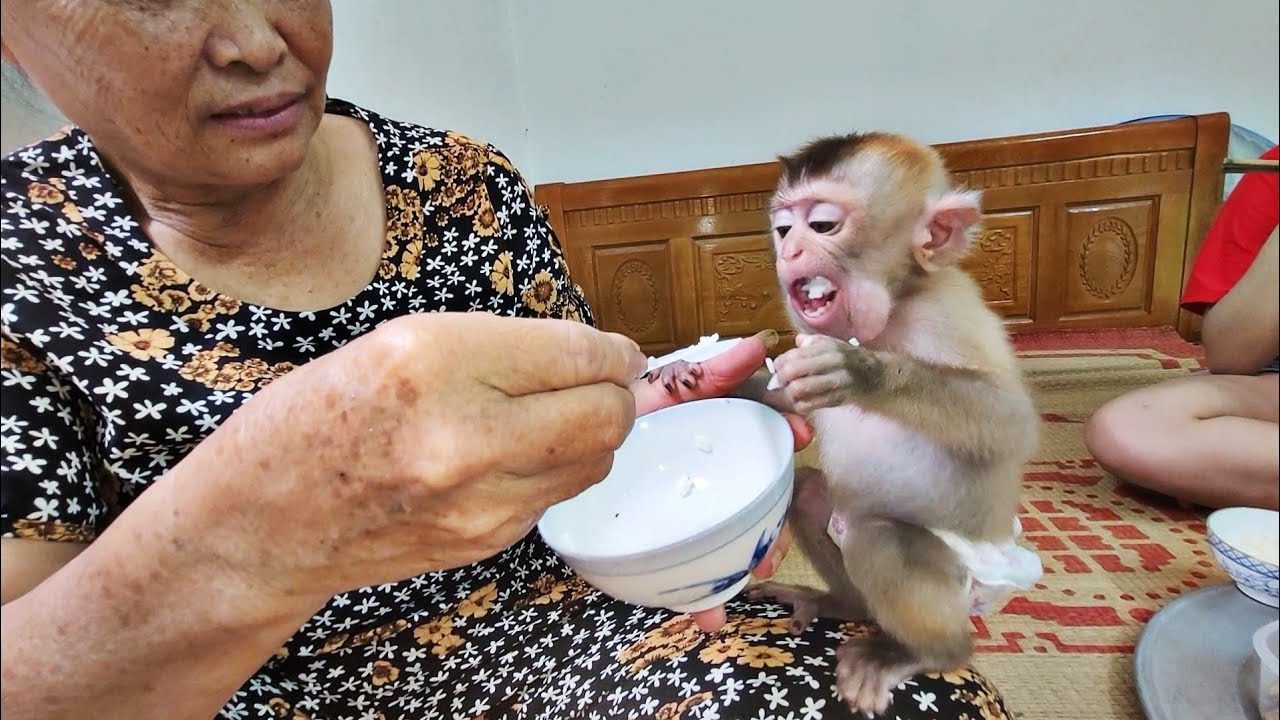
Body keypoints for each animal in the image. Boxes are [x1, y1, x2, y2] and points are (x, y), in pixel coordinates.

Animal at [652, 132, 1042, 716]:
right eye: (783, 229)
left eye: (822, 226)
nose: (790, 251)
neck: (892, 312)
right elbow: (779, 397)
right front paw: (685, 372)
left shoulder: (947, 313)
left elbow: (1009, 422)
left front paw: (858, 371)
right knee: (811, 494)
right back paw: (840, 603)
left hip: (966, 581)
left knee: (880, 537)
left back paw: (927, 652)